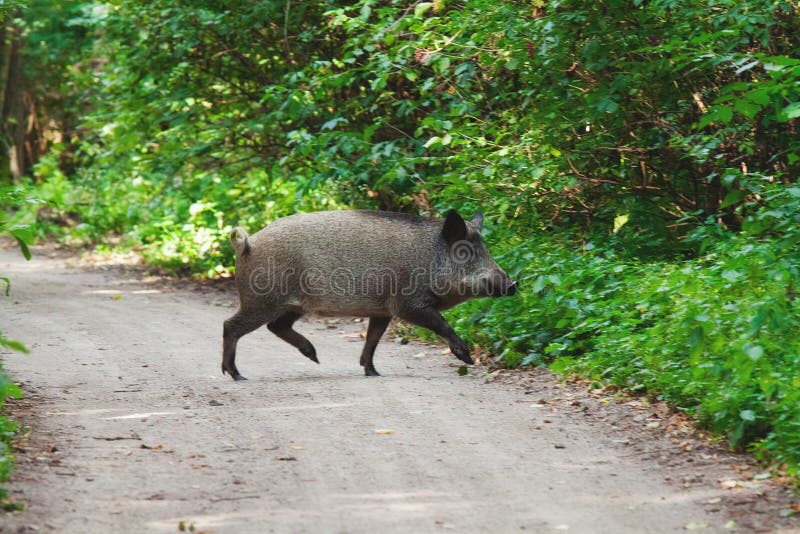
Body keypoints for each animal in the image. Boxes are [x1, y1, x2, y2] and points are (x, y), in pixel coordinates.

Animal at [222, 209, 517, 380]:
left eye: (485, 248)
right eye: (466, 251)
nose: (512, 284)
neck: (430, 258)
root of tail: (247, 244)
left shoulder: (382, 310)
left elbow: (373, 338)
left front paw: (372, 372)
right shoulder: (407, 305)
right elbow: (441, 324)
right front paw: (467, 359)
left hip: (291, 306)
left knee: (276, 326)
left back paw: (315, 357)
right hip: (261, 301)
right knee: (231, 325)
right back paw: (236, 375)